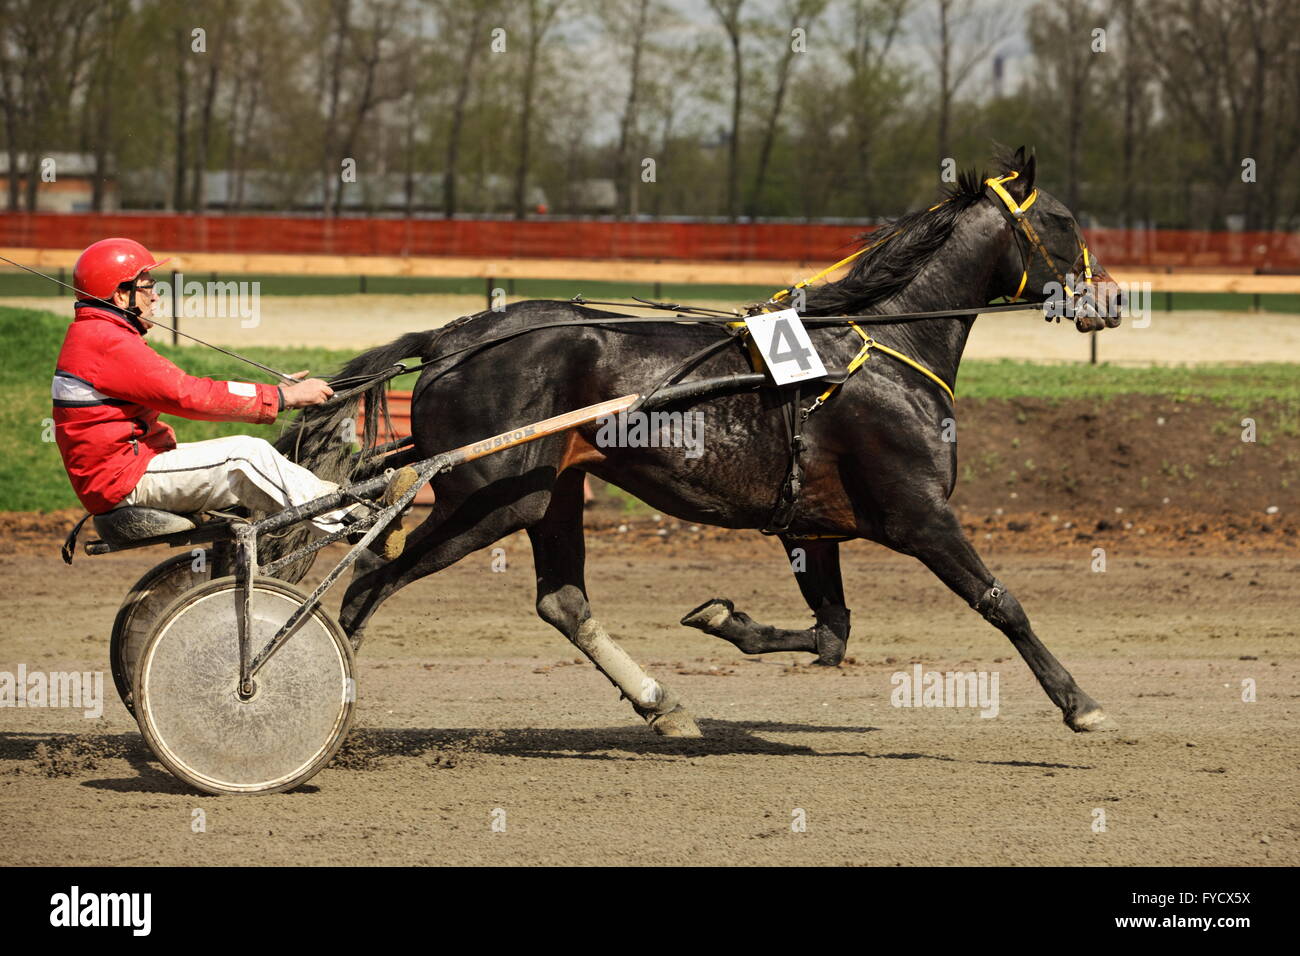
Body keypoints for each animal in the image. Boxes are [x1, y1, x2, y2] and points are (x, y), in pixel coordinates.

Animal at [276, 143, 1128, 738]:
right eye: (1062, 222)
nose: (1114, 299)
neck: (880, 346)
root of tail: (451, 339)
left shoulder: (813, 525)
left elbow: (832, 636)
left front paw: (723, 619)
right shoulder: (918, 514)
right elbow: (1001, 602)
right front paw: (1081, 703)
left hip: (549, 492)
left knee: (563, 602)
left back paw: (664, 706)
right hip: (486, 499)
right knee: (366, 584)